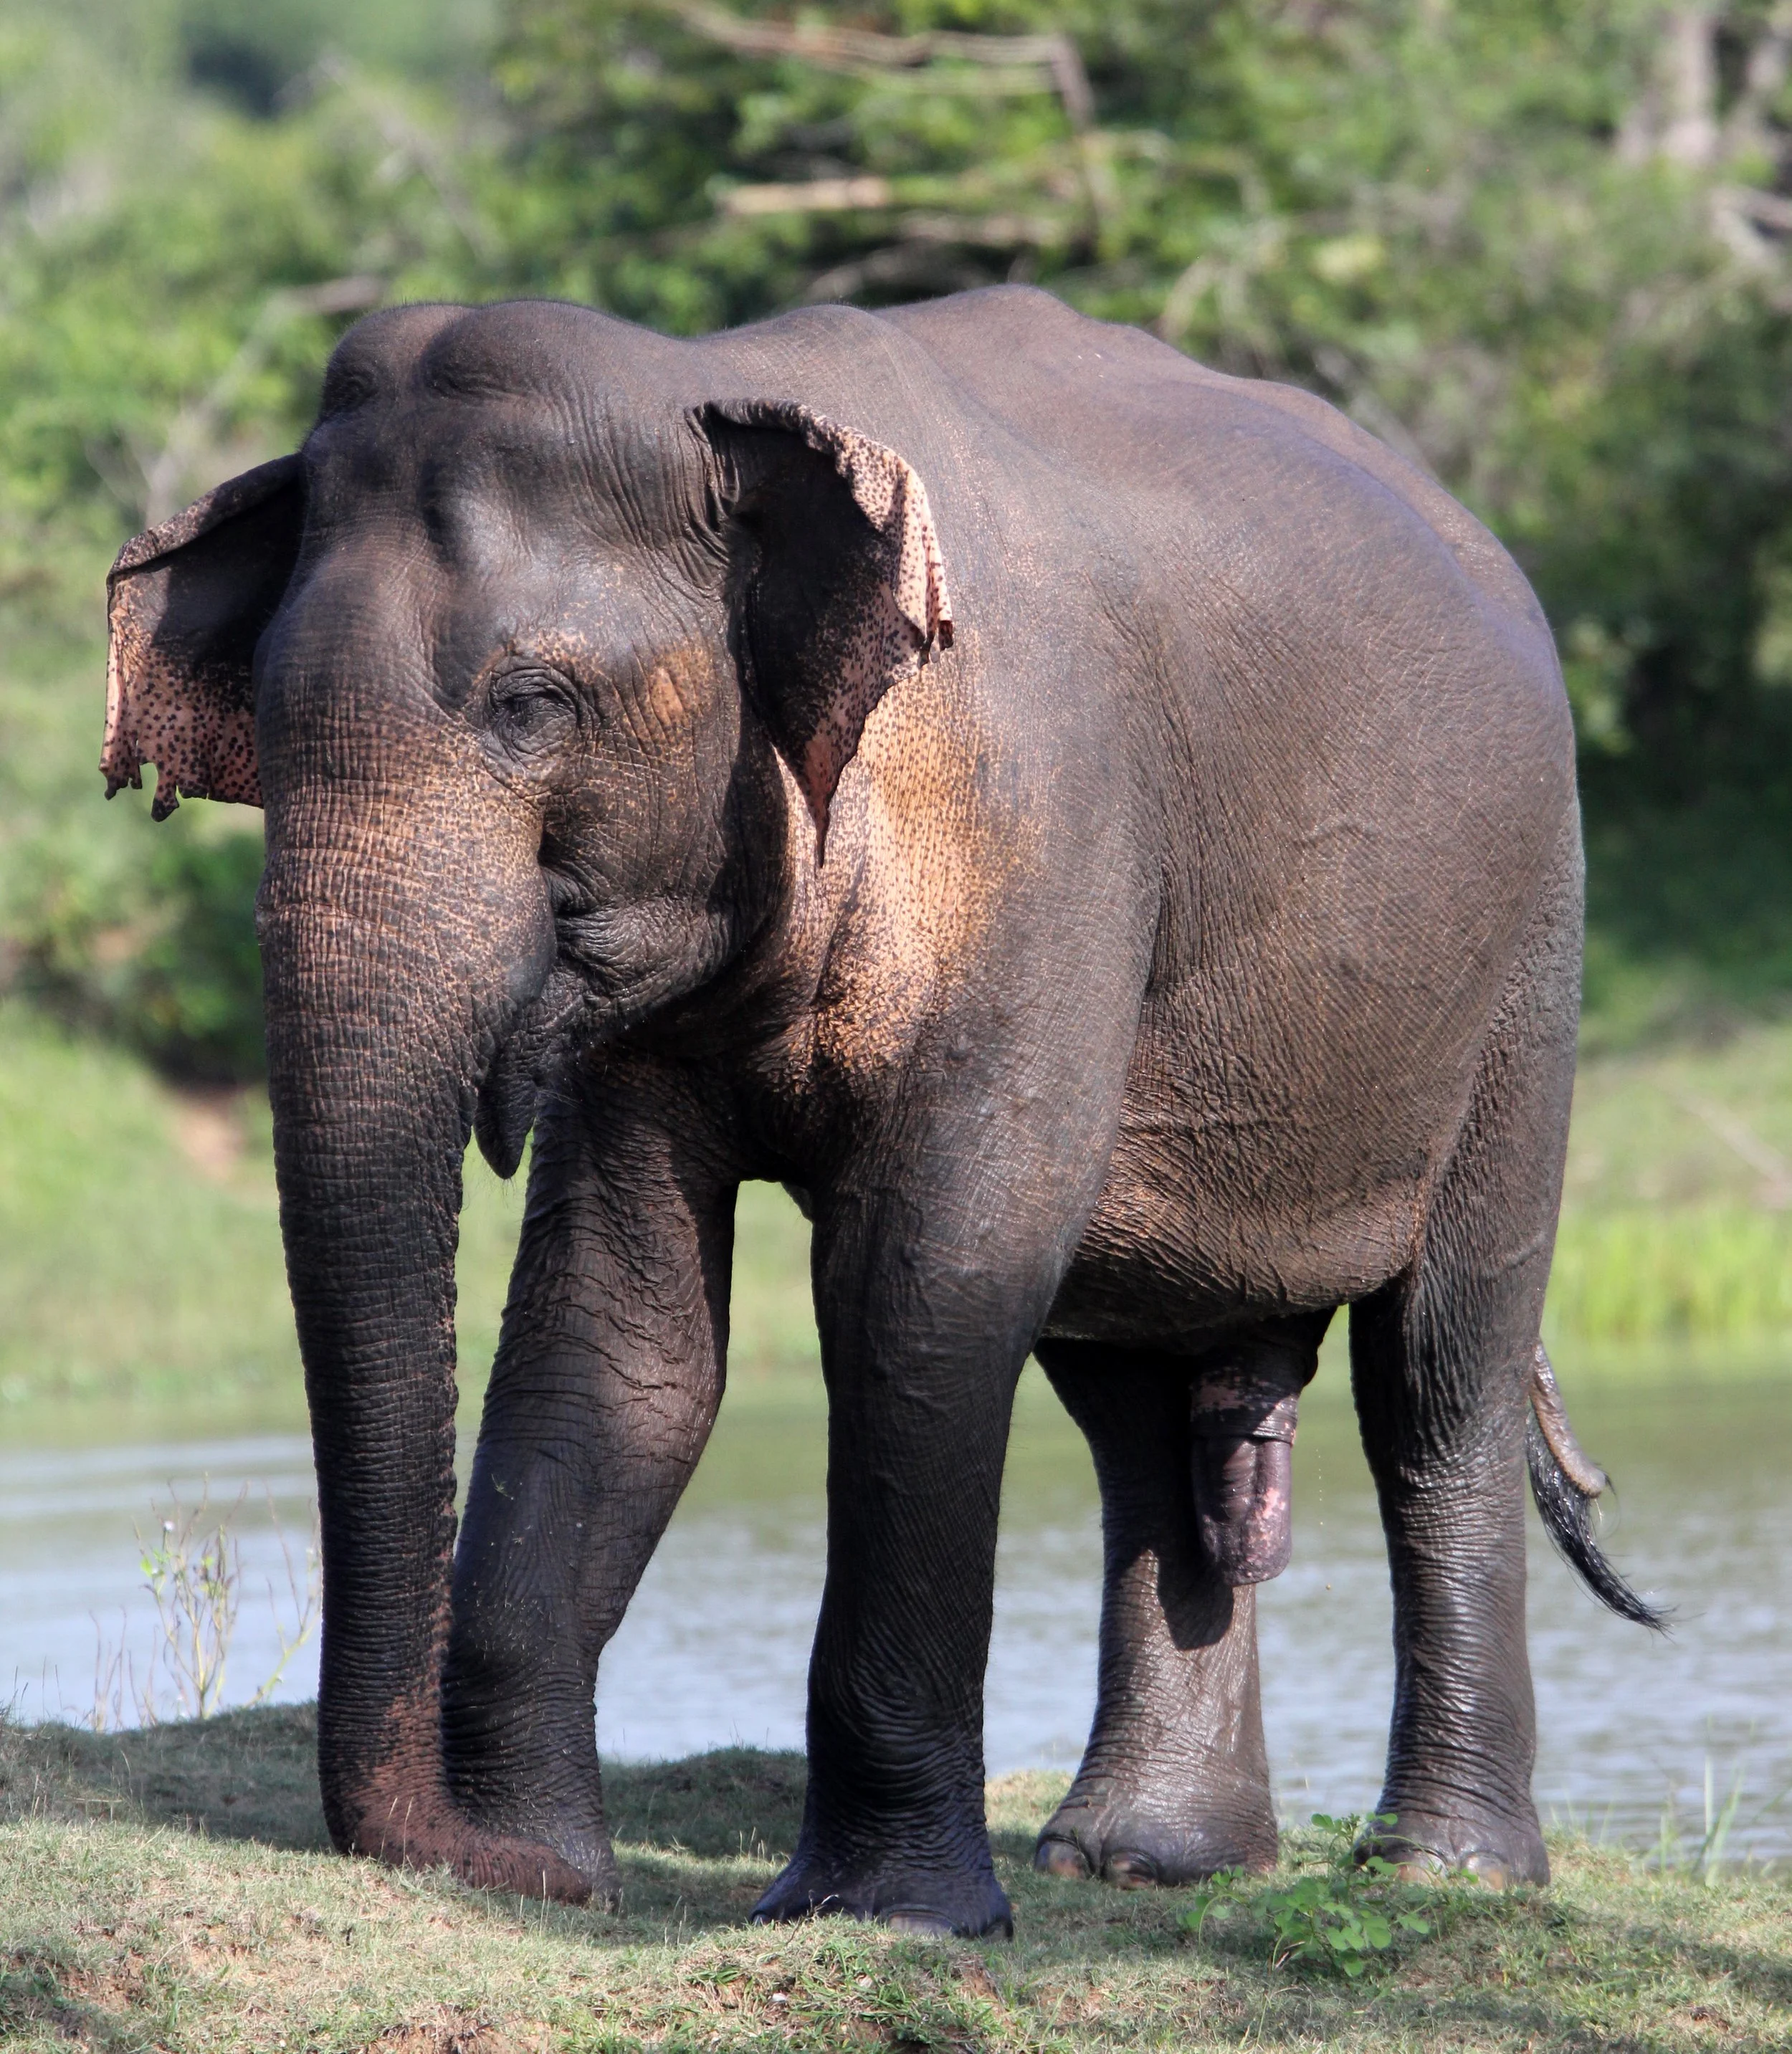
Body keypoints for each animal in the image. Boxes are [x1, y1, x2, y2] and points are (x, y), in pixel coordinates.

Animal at [101, 284, 1657, 1939]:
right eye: (264, 720)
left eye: (531, 704)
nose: (487, 1863)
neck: (715, 384)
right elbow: (623, 1331)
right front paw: (548, 1863)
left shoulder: (1047, 837)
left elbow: (917, 1294)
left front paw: (883, 1913)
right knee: (1129, 1403)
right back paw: (1146, 1858)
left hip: (1525, 960)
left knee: (1436, 1373)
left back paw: (1445, 1867)